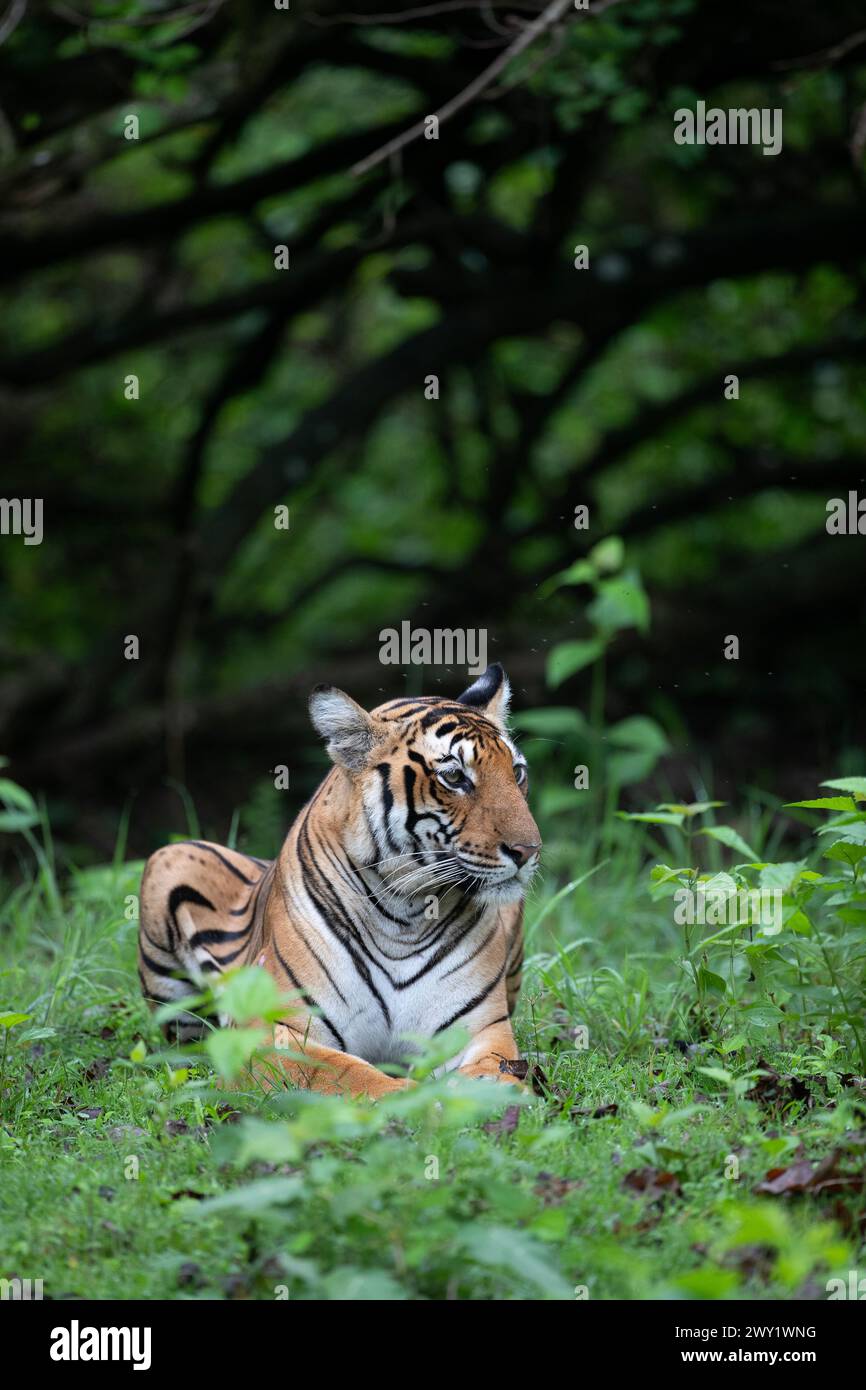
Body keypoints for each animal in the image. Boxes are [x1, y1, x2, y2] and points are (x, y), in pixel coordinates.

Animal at [138, 663, 541, 1099]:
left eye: (517, 772)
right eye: (453, 776)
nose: (528, 850)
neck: (406, 915)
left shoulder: (480, 1029)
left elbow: (497, 1067)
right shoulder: (272, 1029)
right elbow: (341, 1073)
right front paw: (411, 1097)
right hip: (170, 861)